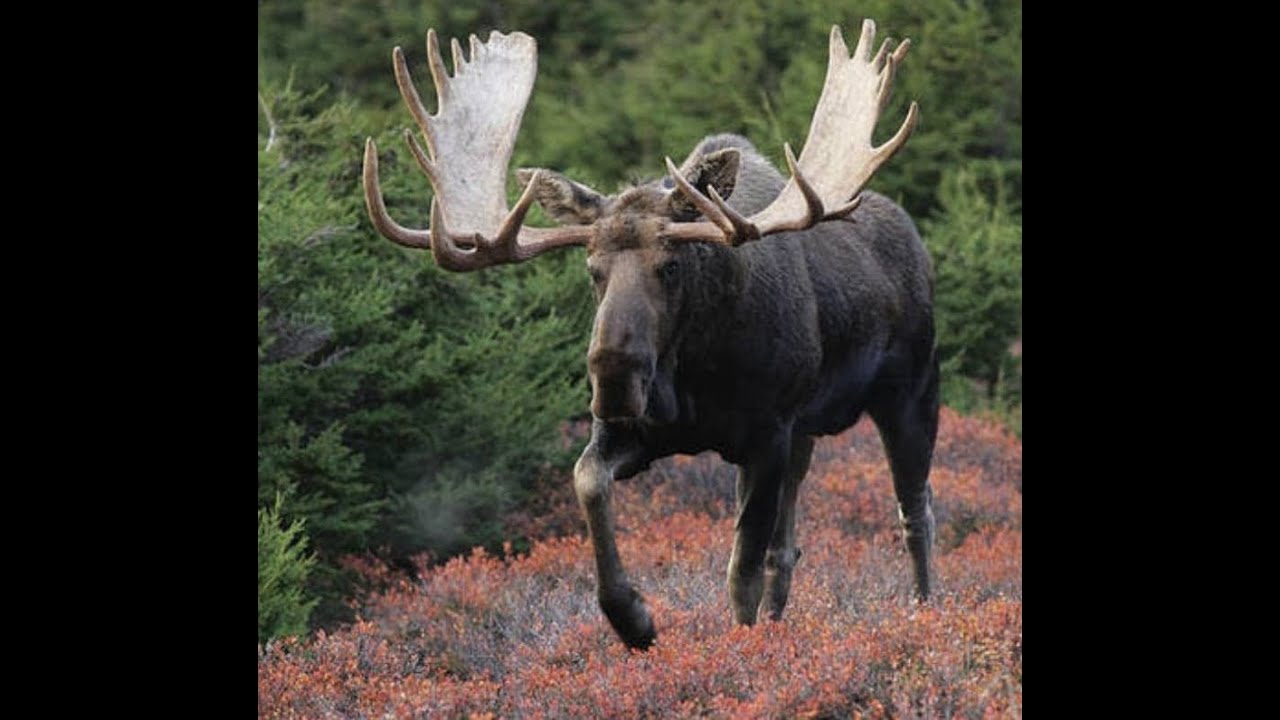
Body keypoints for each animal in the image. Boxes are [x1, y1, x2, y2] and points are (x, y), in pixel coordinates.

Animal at [362, 20, 937, 650]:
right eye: (592, 269)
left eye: (672, 264)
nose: (613, 375)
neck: (697, 375)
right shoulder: (644, 432)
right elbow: (588, 482)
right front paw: (634, 618)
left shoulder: (766, 435)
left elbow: (741, 570)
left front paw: (741, 650)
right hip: (806, 431)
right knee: (789, 548)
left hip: (910, 393)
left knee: (915, 511)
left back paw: (925, 612)